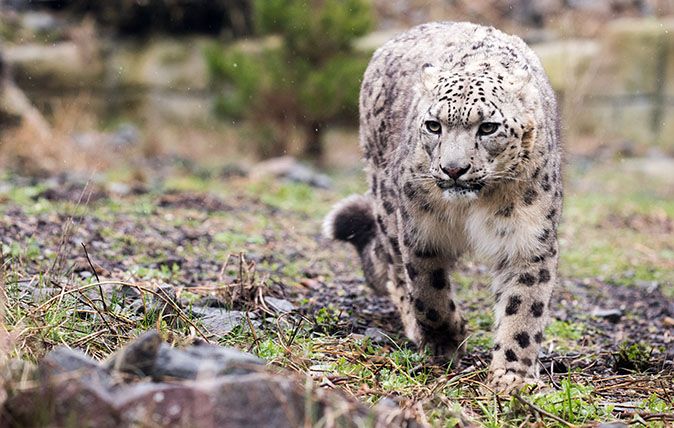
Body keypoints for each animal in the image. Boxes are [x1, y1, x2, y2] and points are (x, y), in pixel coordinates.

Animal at [323, 21, 562, 394]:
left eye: (488, 126)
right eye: (434, 125)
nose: (453, 169)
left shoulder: (528, 240)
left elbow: (523, 307)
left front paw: (513, 377)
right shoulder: (421, 230)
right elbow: (428, 293)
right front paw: (447, 340)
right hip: (386, 205)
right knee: (396, 271)